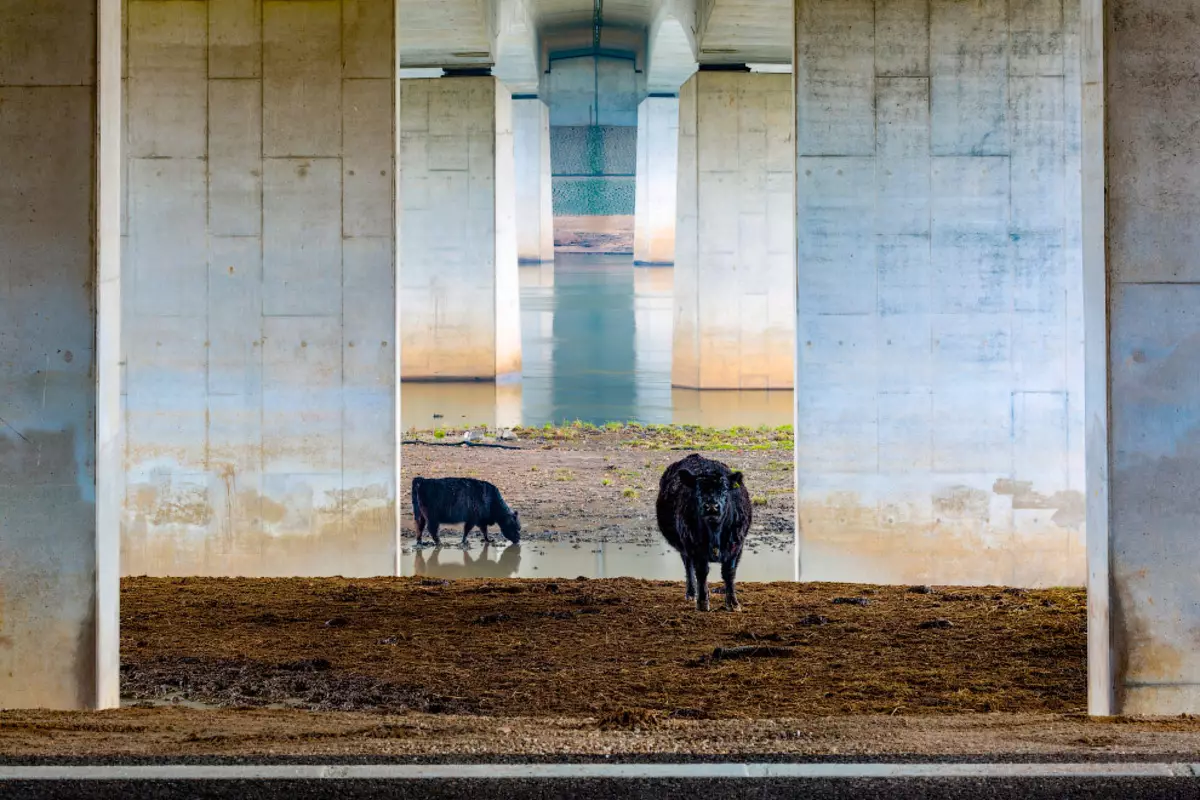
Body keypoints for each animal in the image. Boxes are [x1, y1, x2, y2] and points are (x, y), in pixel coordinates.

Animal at [657, 450, 748, 614]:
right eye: (698, 491)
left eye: (724, 490)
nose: (711, 506)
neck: (715, 532)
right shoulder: (694, 546)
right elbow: (701, 572)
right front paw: (702, 602)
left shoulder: (736, 545)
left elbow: (729, 573)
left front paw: (733, 603)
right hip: (684, 545)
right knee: (688, 566)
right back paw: (692, 593)